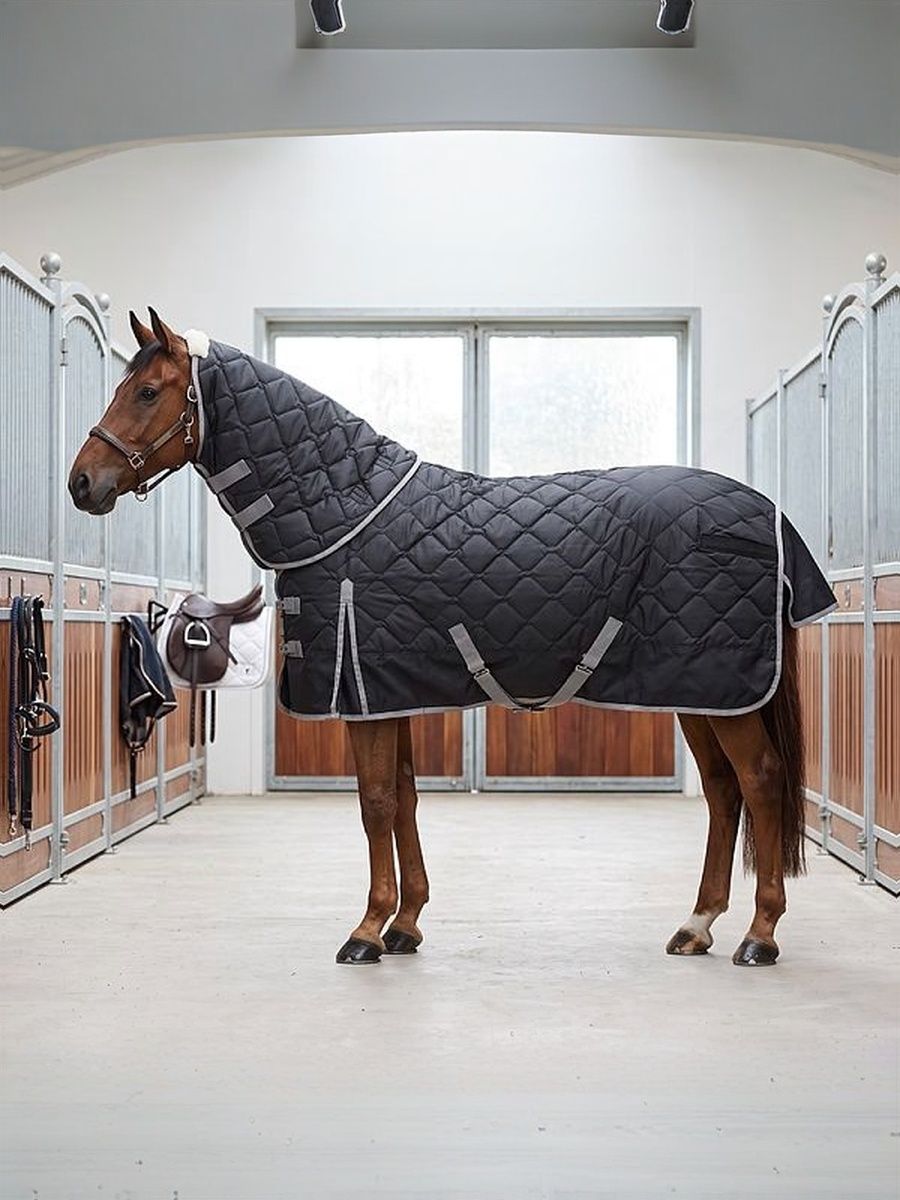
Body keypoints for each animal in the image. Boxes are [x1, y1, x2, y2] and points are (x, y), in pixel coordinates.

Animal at [69, 308, 835, 969]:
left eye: (146, 391)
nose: (82, 483)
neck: (345, 513)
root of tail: (770, 517)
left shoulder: (364, 696)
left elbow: (375, 804)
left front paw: (366, 931)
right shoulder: (389, 693)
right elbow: (404, 799)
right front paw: (405, 924)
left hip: (721, 688)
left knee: (760, 782)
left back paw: (760, 935)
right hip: (700, 690)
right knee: (724, 792)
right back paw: (697, 925)